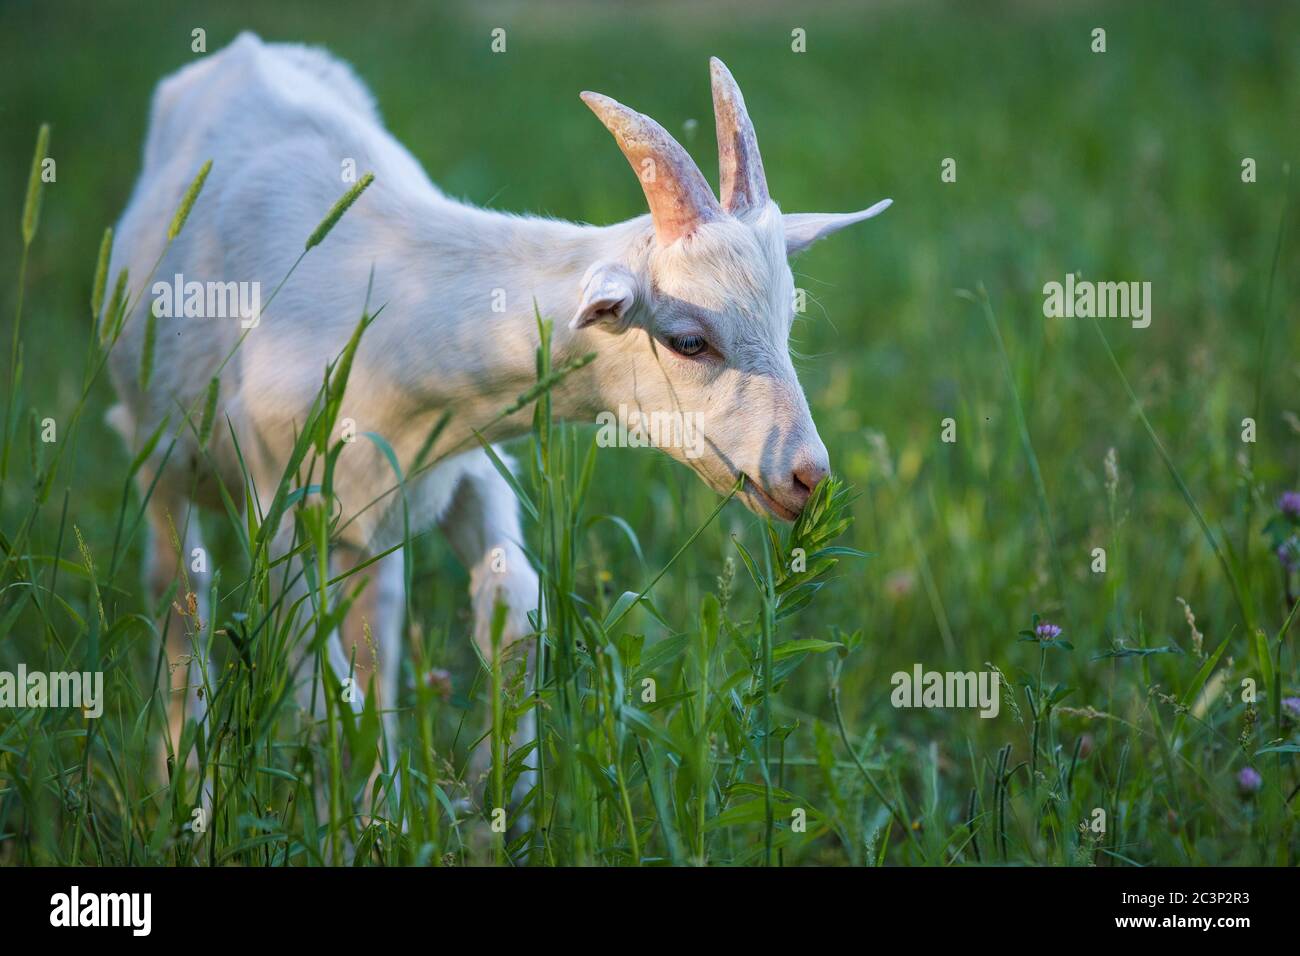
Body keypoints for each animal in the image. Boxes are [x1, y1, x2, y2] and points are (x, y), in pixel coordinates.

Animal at [105, 32, 890, 798]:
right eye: (687, 340)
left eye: (786, 321)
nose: (806, 476)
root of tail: (244, 48)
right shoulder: (280, 496)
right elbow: (321, 686)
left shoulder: (463, 455)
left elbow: (510, 606)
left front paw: (499, 801)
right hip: (160, 452)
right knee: (182, 593)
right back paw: (184, 792)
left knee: (375, 616)